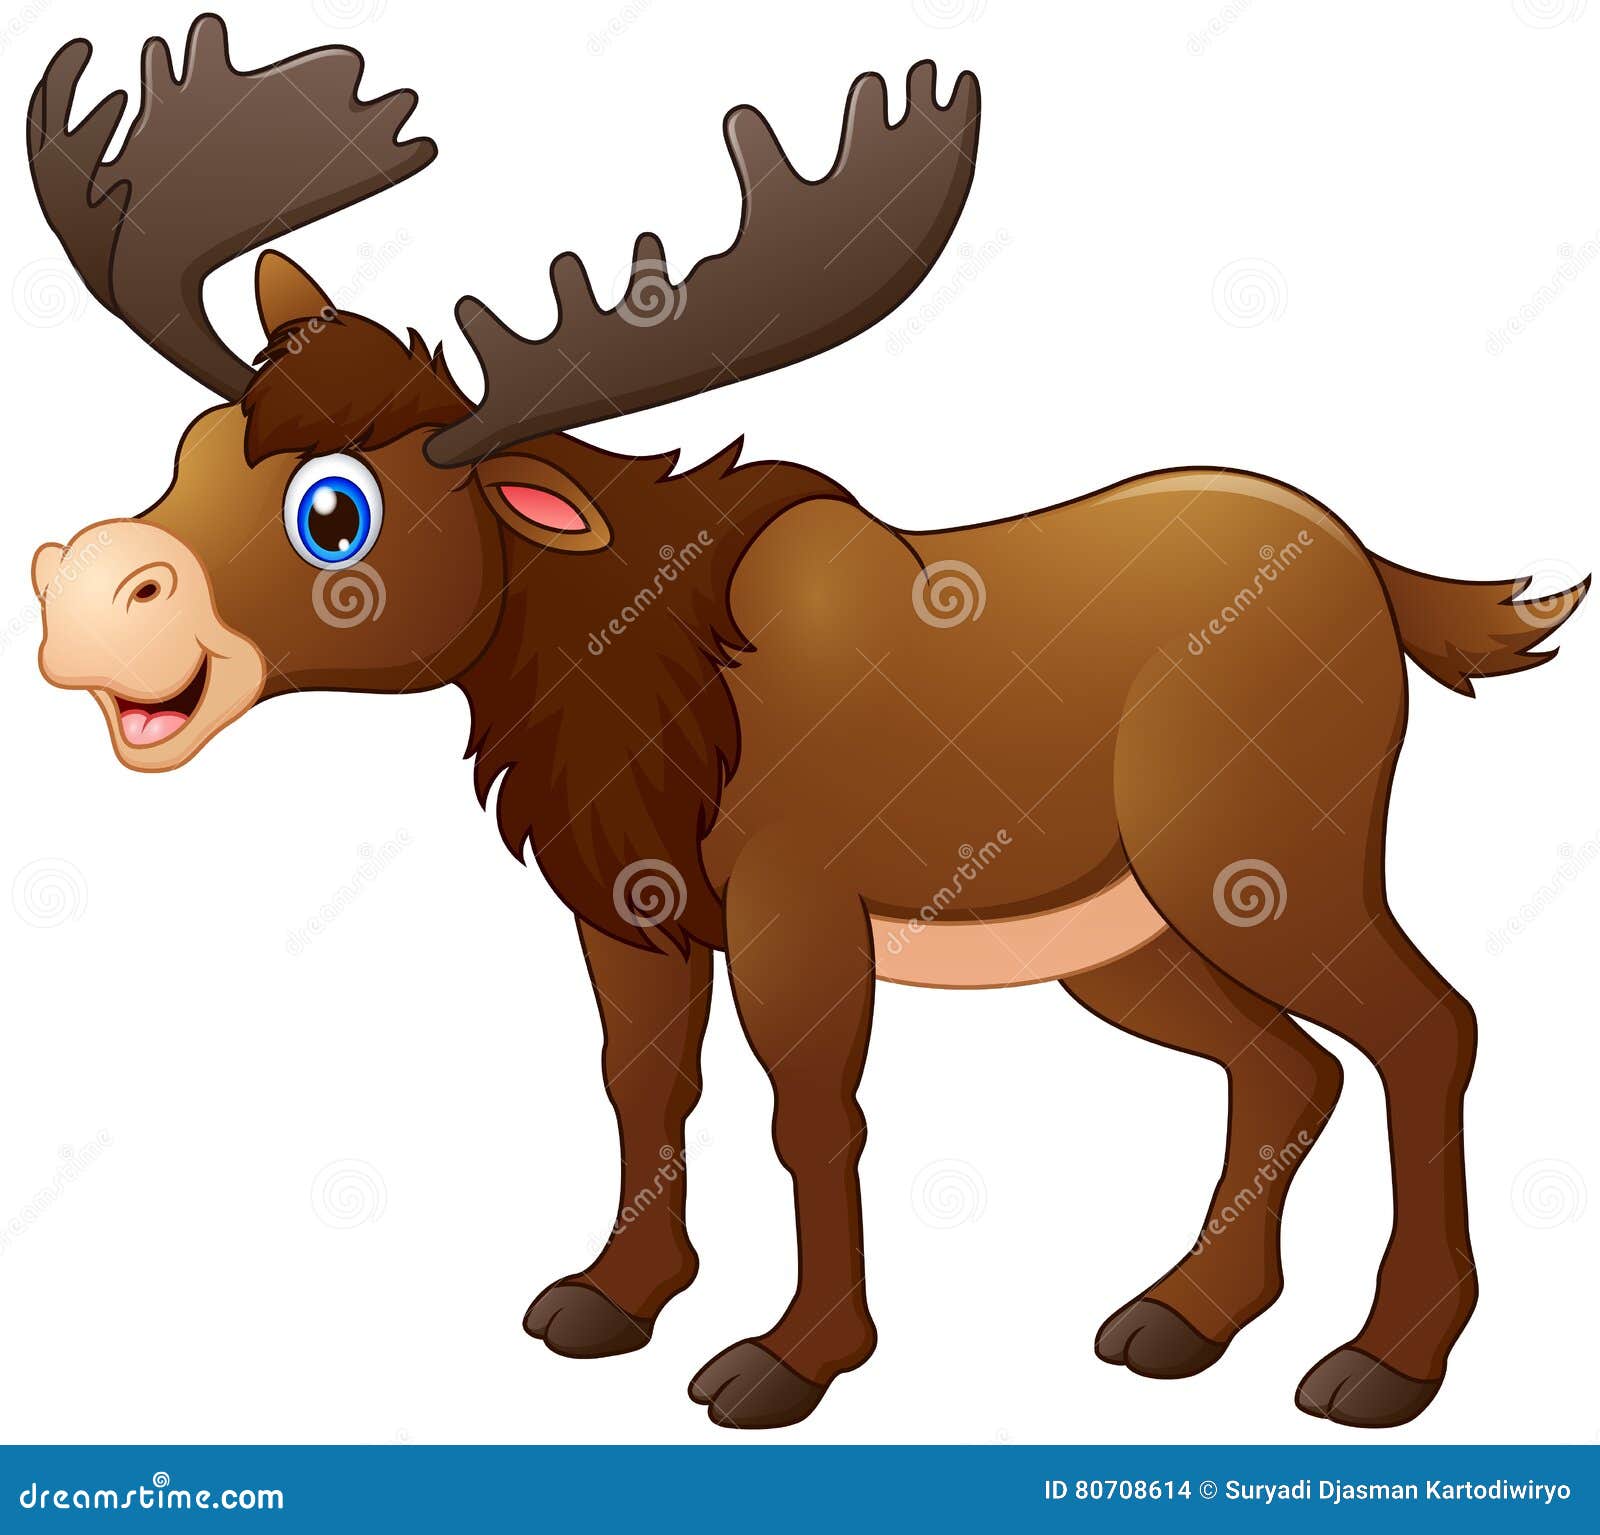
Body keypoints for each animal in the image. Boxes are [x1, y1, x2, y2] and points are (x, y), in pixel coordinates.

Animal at [27, 15, 1588, 1431]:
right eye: (191, 450)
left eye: (335, 511)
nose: (89, 587)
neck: (640, 688)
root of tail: (1380, 578)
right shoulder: (631, 907)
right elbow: (642, 1084)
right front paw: (613, 1293)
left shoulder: (798, 902)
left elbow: (810, 1111)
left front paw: (792, 1355)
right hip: (1125, 932)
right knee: (1287, 1063)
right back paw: (1181, 1315)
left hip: (1256, 856)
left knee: (1426, 1027)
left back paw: (1388, 1358)